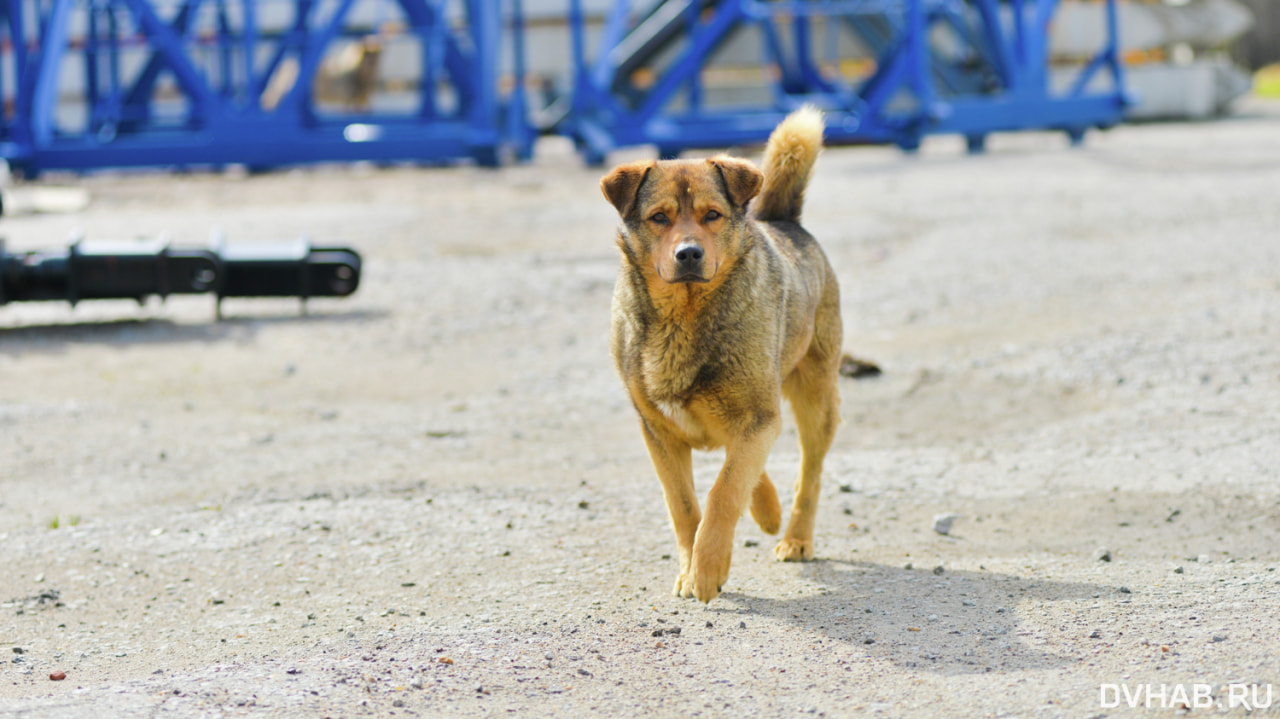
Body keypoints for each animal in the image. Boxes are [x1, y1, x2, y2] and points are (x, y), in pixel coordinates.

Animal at [604, 104, 844, 598]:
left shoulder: (757, 415)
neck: (684, 317)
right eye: (659, 217)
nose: (689, 254)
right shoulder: (659, 431)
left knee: (808, 474)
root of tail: (783, 220)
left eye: (712, 215)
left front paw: (708, 567)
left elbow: (724, 492)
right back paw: (767, 509)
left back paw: (795, 536)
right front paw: (689, 568)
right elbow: (683, 504)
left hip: (815, 400)